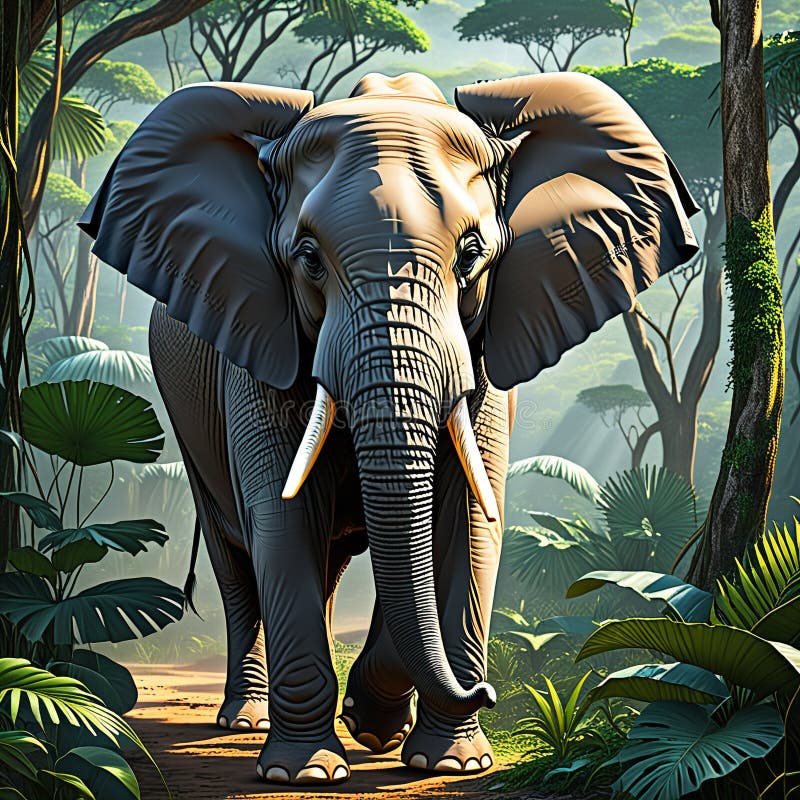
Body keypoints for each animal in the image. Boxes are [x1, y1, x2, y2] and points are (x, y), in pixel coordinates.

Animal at [79, 71, 699, 785]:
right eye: (309, 258)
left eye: (472, 255)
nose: (489, 689)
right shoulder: (261, 333)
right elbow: (283, 517)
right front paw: (306, 774)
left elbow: (467, 518)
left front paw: (442, 758)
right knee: (237, 557)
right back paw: (249, 722)